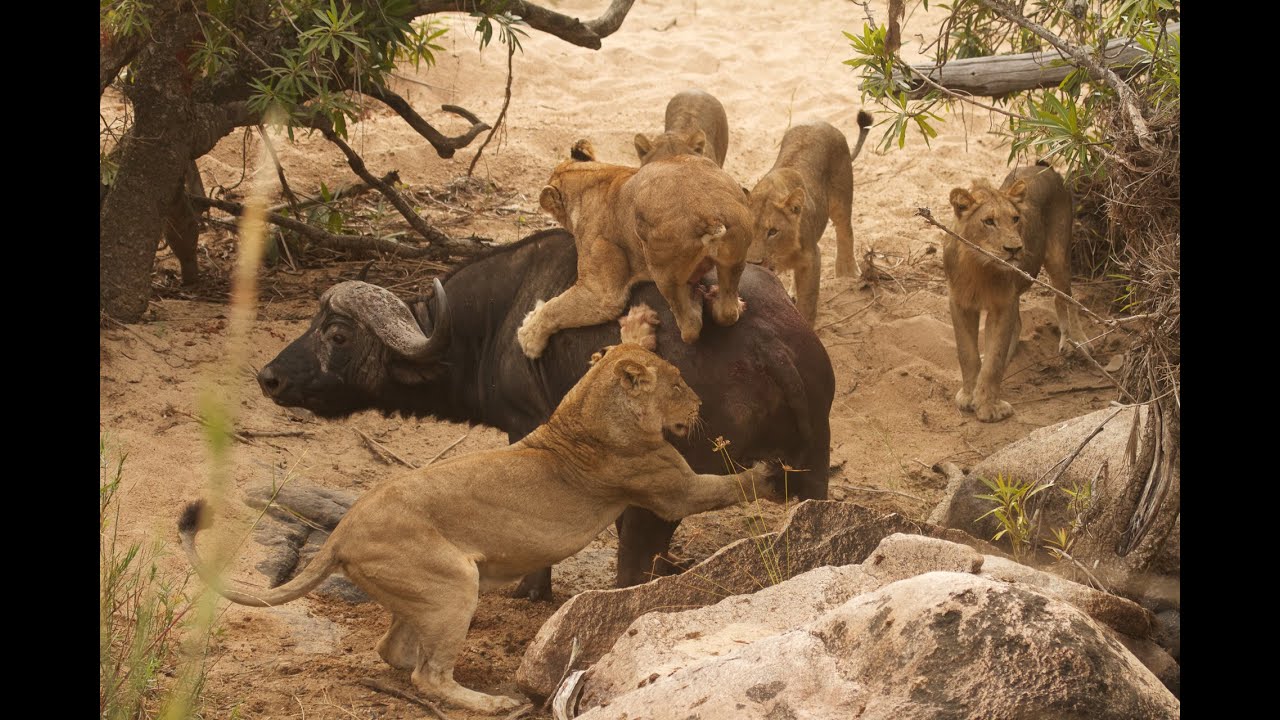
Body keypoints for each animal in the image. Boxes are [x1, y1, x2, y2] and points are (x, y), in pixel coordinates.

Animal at [180, 306, 777, 714]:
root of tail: (342, 531)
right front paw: (773, 472)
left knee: (393, 650)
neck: (586, 409)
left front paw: (638, 324)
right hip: (451, 582)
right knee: (426, 676)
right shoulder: (669, 488)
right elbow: (726, 486)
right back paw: (491, 700)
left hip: (419, 590)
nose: (697, 406)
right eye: (679, 385)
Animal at [258, 228, 834, 600]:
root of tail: (770, 341)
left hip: (666, 490)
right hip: (814, 474)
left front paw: (529, 589)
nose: (270, 377)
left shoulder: (525, 428)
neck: (488, 323)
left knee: (635, 559)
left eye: (337, 335)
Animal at [518, 143, 754, 358]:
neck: (589, 178)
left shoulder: (602, 294)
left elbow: (556, 307)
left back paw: (695, 298)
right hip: (734, 259)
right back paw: (721, 299)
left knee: (690, 329)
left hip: (661, 269)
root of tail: (708, 213)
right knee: (728, 313)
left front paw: (529, 337)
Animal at [747, 111, 872, 326]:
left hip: (841, 198)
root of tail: (823, 123)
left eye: (773, 232)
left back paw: (847, 271)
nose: (754, 263)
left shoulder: (812, 258)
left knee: (845, 230)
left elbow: (808, 302)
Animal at [944, 161, 1088, 423]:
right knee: (1021, 322)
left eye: (1015, 219)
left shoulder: (1003, 303)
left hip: (1058, 255)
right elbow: (967, 353)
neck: (980, 267)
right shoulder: (959, 302)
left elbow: (994, 359)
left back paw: (1077, 342)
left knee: (1065, 298)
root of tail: (1044, 166)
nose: (1015, 249)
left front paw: (989, 407)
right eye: (989, 221)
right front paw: (969, 395)